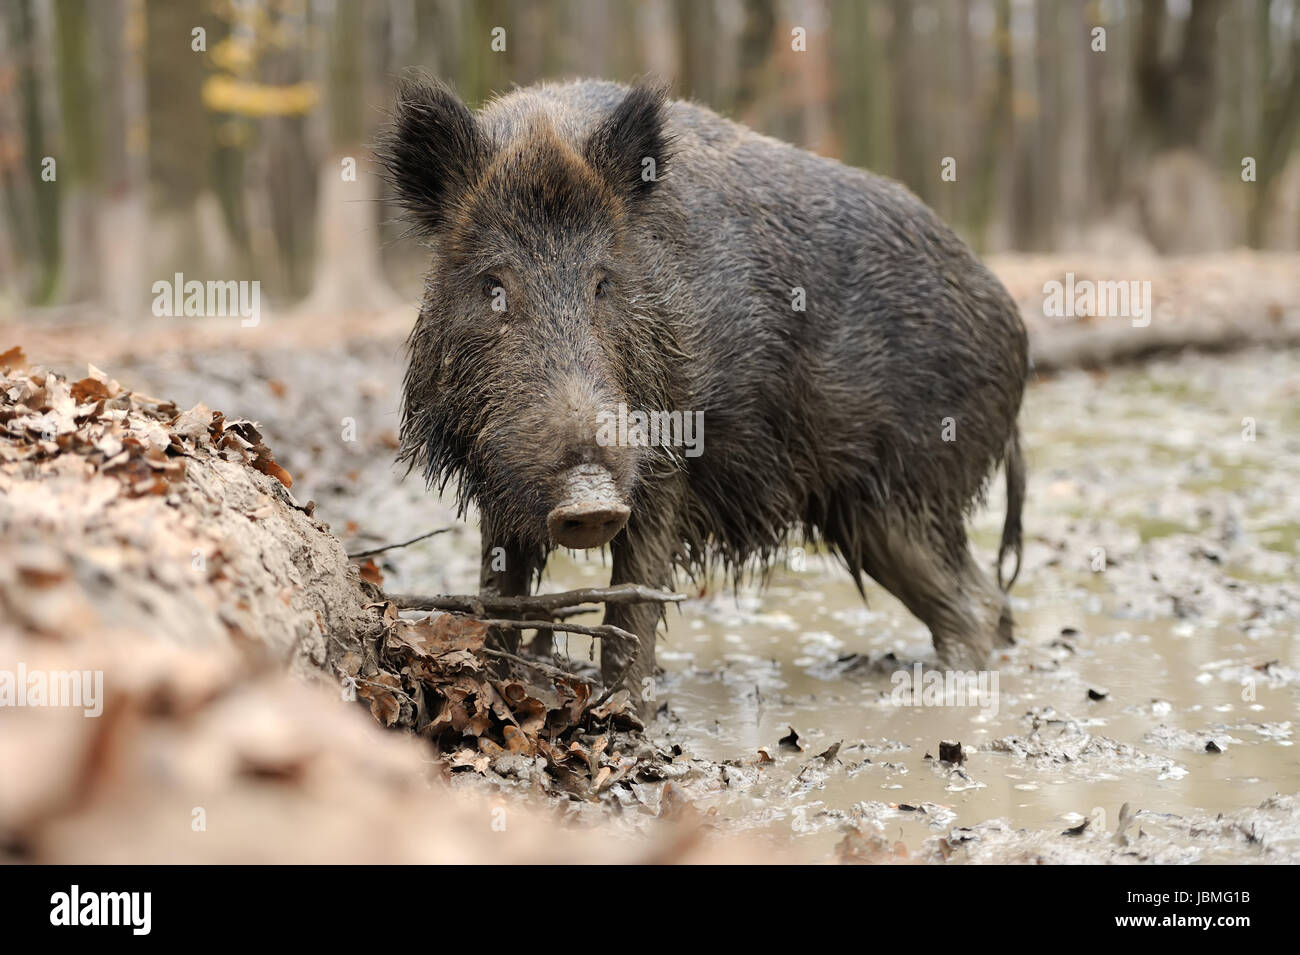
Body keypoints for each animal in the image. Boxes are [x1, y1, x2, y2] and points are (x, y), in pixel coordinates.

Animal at [378, 76, 1027, 713]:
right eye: (493, 284)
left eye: (603, 283)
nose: (589, 500)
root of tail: (1011, 323)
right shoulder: (500, 474)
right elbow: (499, 591)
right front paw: (494, 683)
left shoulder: (667, 456)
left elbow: (633, 601)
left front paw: (628, 715)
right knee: (985, 602)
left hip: (911, 484)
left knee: (972, 604)